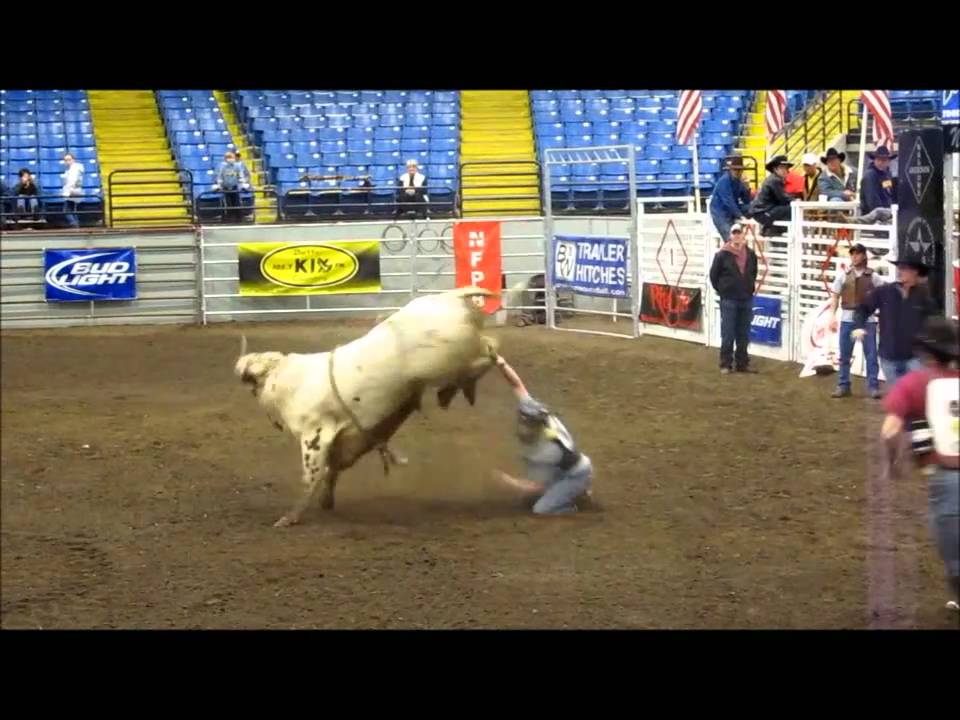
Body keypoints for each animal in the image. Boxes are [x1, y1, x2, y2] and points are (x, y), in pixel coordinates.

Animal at [234, 286, 500, 527]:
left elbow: (312, 476)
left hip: (448, 359)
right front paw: (326, 501)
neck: (286, 380)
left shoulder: (314, 436)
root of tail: (451, 296)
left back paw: (454, 390)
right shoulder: (352, 442)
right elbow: (332, 470)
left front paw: (289, 518)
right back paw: (454, 392)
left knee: (489, 350)